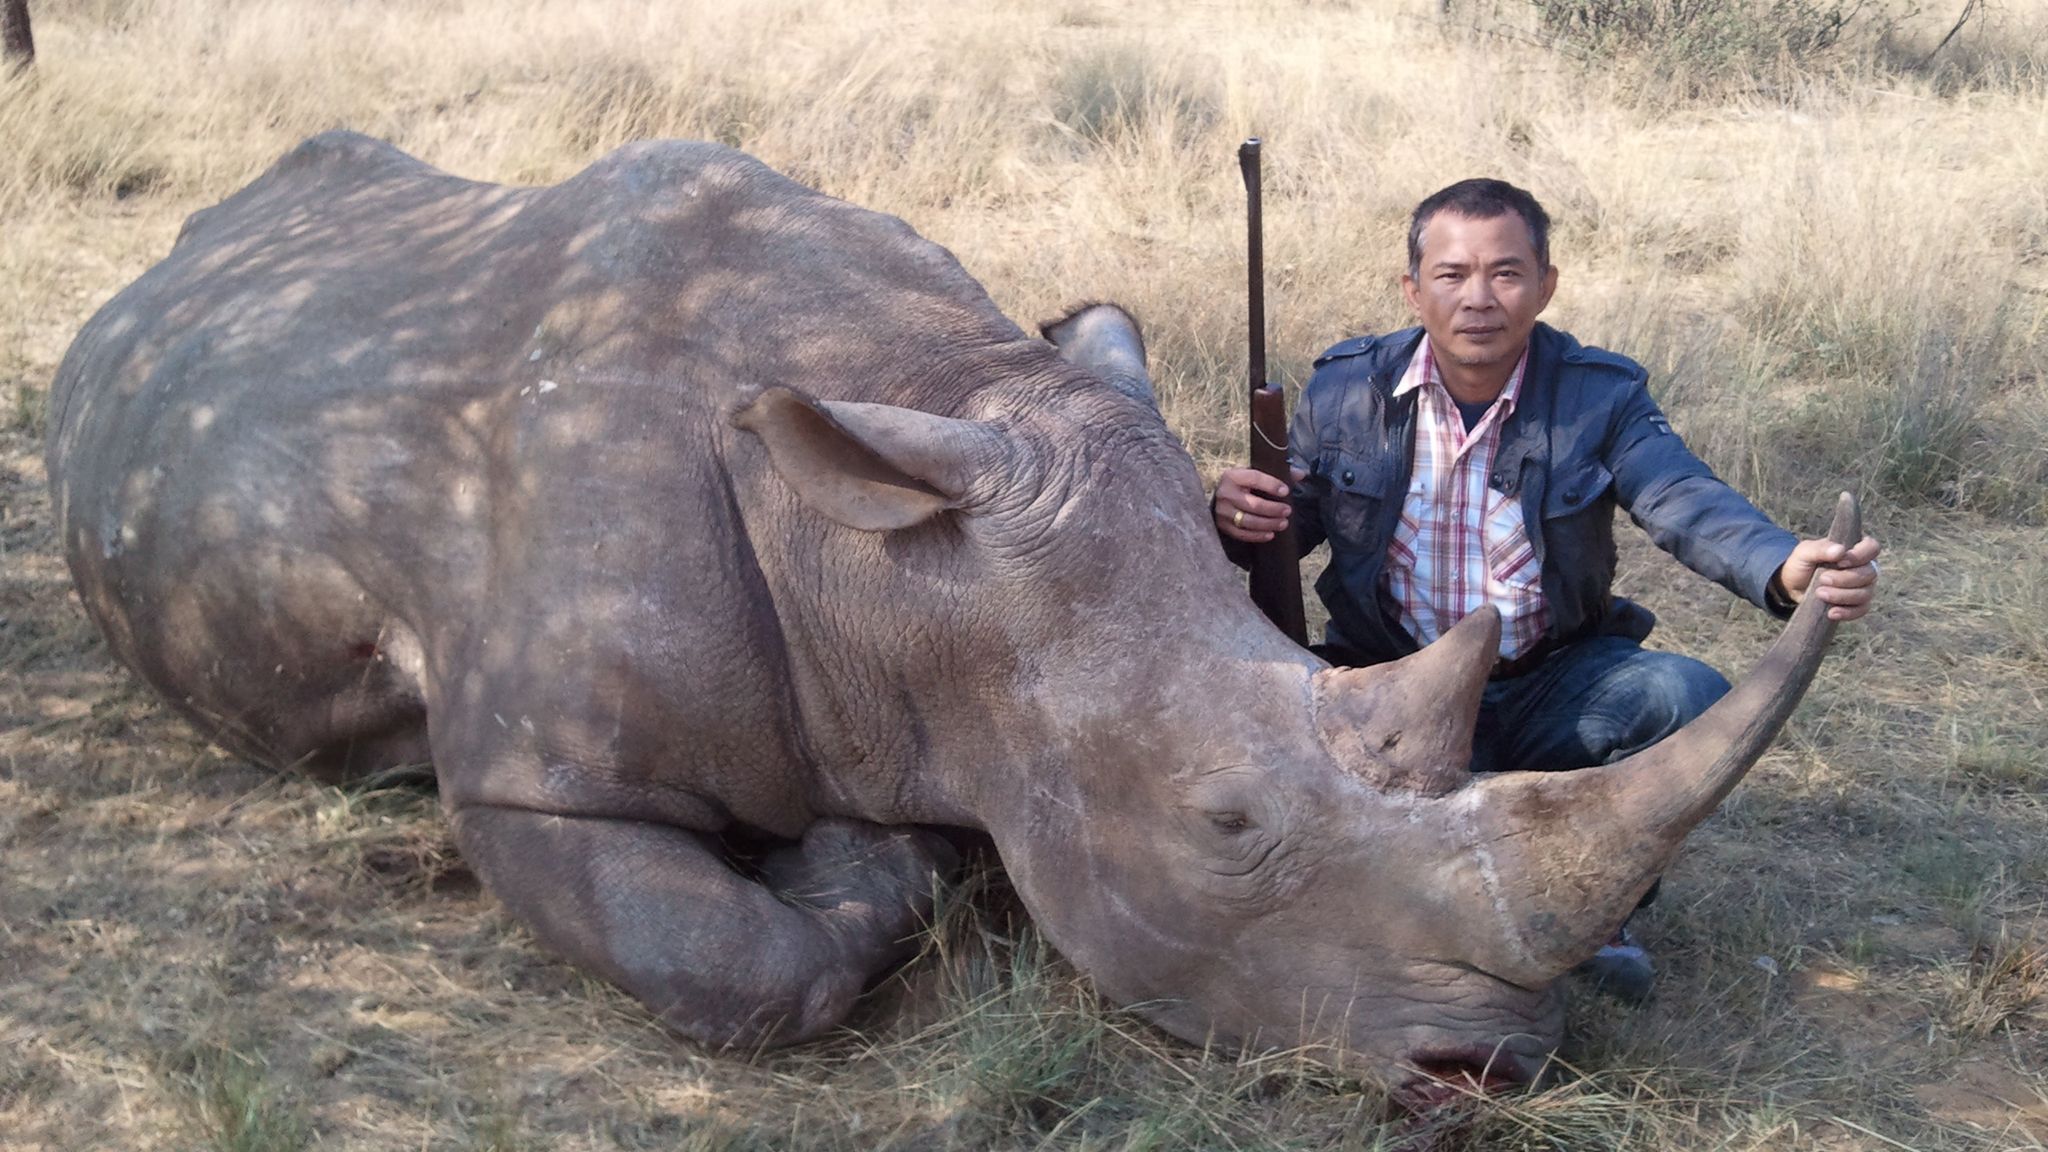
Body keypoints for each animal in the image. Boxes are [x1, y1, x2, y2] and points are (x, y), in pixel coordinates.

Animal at [46, 131, 1854, 1098]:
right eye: (1223, 824)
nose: (1498, 1070)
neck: (901, 564)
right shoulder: (533, 776)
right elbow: (734, 962)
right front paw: (861, 863)